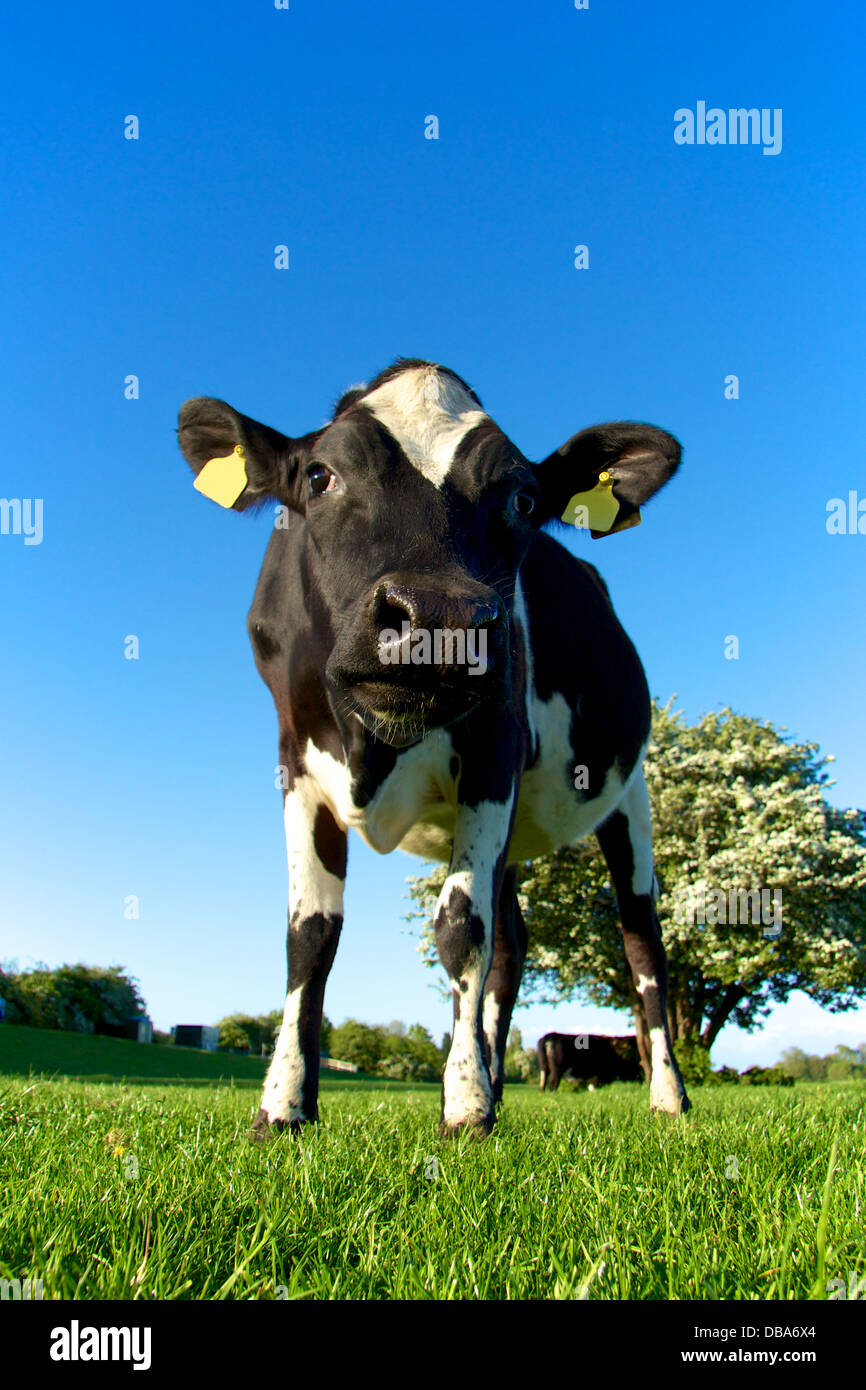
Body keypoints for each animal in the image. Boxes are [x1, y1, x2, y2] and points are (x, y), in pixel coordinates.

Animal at [177, 358, 690, 1138]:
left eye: (522, 497)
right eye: (320, 476)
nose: (439, 618)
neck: (371, 747)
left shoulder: (495, 752)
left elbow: (460, 928)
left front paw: (465, 1107)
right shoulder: (297, 763)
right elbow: (310, 934)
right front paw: (284, 1105)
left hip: (630, 798)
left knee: (642, 943)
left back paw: (666, 1096)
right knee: (513, 947)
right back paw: (501, 1079)